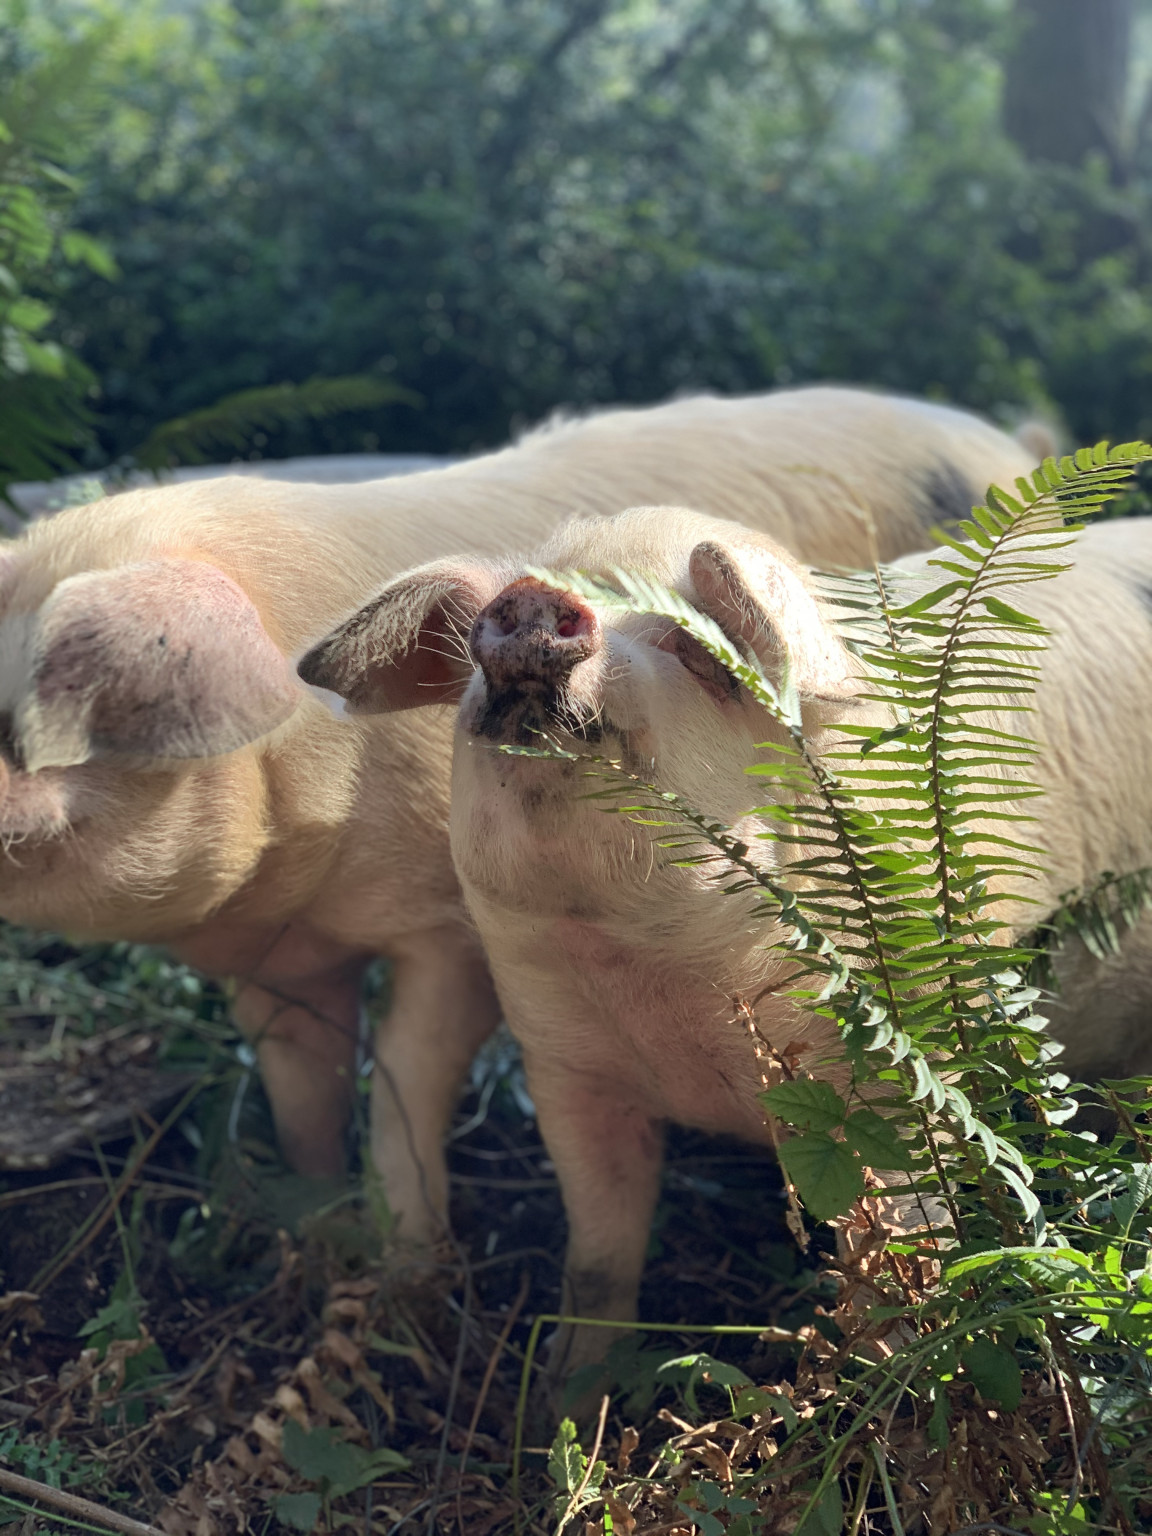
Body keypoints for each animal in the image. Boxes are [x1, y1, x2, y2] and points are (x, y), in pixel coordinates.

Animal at [0, 387, 1041, 1252]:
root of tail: (1005, 437)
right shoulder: (279, 957)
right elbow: (303, 1086)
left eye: (45, 717)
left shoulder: (450, 928)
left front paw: (408, 1266)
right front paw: (324, 1232)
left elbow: (411, 1075)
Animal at [301, 502, 1152, 1375]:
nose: (536, 599)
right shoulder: (566, 1067)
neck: (665, 977)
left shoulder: (903, 1074)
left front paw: (895, 1369)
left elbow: (899, 1247)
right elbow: (599, 1249)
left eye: (696, 650)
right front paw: (573, 1383)